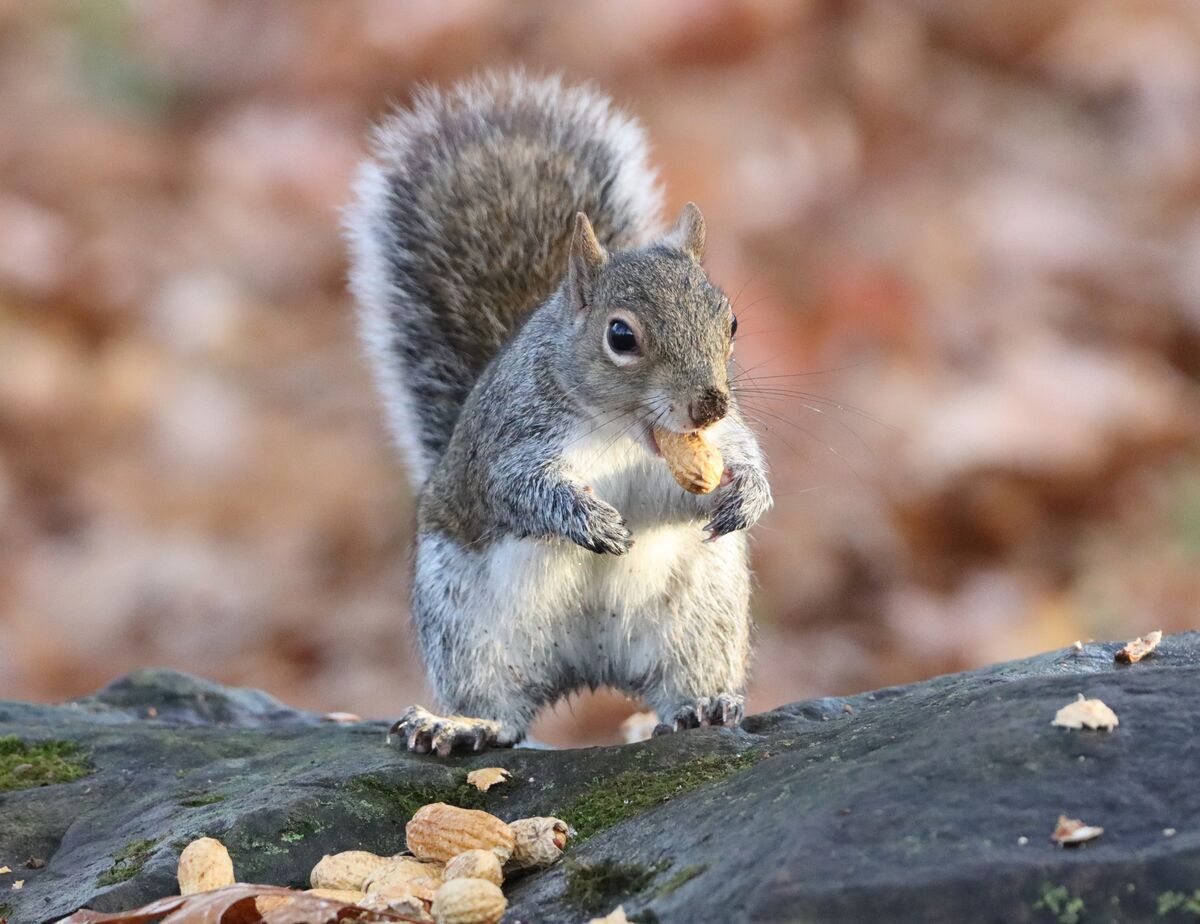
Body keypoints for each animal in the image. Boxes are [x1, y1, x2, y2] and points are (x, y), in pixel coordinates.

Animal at [344, 72, 772, 756]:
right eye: (620, 336)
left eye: (730, 322)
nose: (710, 402)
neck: (628, 433)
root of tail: (591, 665)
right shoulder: (510, 436)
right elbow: (518, 487)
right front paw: (588, 519)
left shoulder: (715, 440)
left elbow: (737, 457)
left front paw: (748, 494)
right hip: (467, 629)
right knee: (502, 709)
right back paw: (461, 724)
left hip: (702, 616)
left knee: (678, 683)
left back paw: (701, 708)